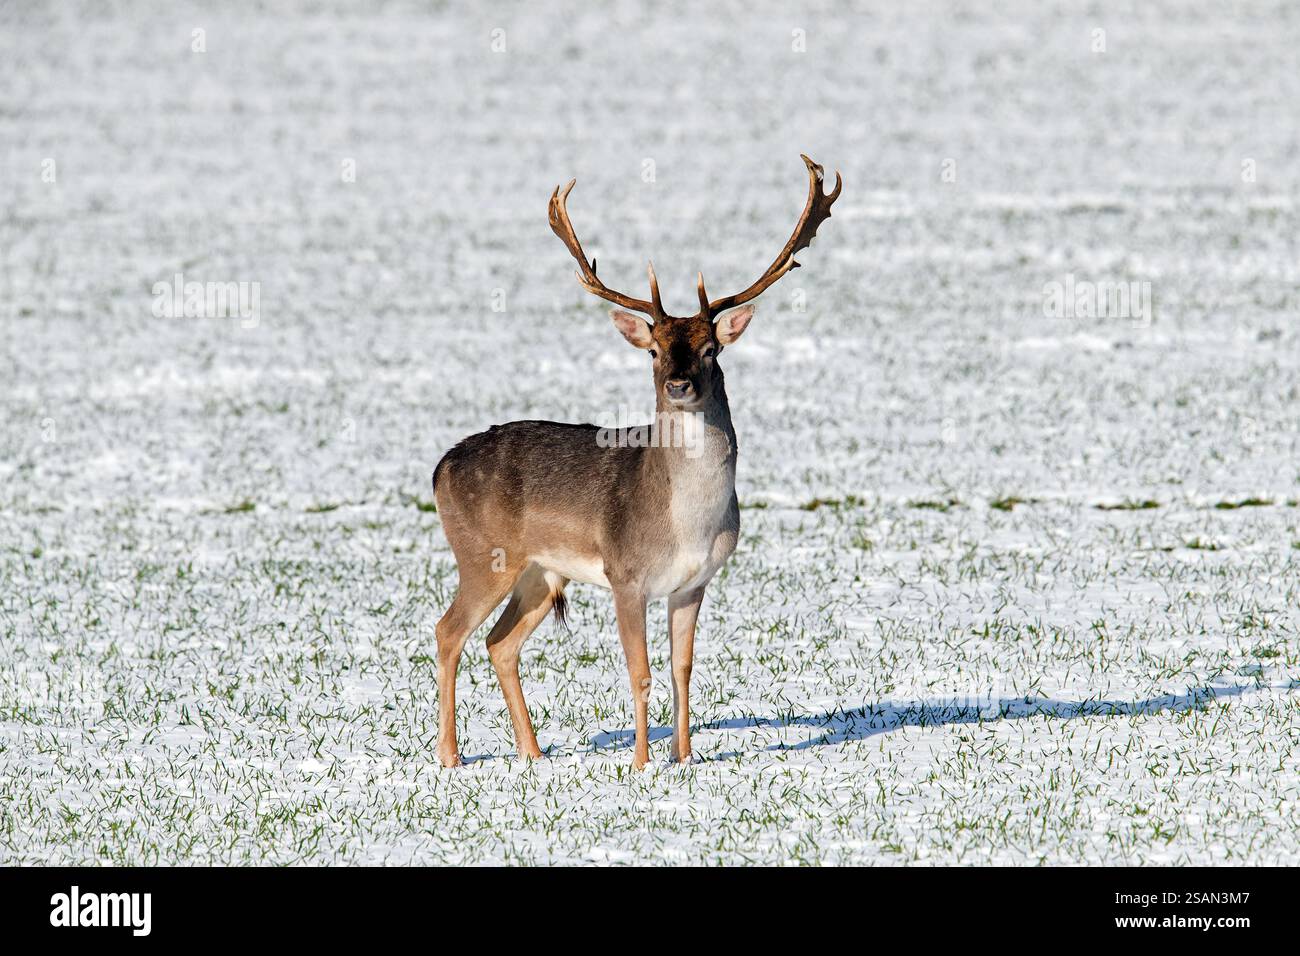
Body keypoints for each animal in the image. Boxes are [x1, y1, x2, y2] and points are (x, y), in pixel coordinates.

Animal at [430, 155, 841, 768]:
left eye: (711, 348)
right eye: (653, 350)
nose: (679, 384)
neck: (690, 525)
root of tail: (439, 470)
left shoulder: (694, 583)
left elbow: (682, 669)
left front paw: (685, 759)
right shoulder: (625, 575)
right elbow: (639, 672)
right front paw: (643, 764)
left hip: (539, 571)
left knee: (499, 643)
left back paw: (534, 755)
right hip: (483, 555)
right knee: (448, 631)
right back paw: (451, 758)